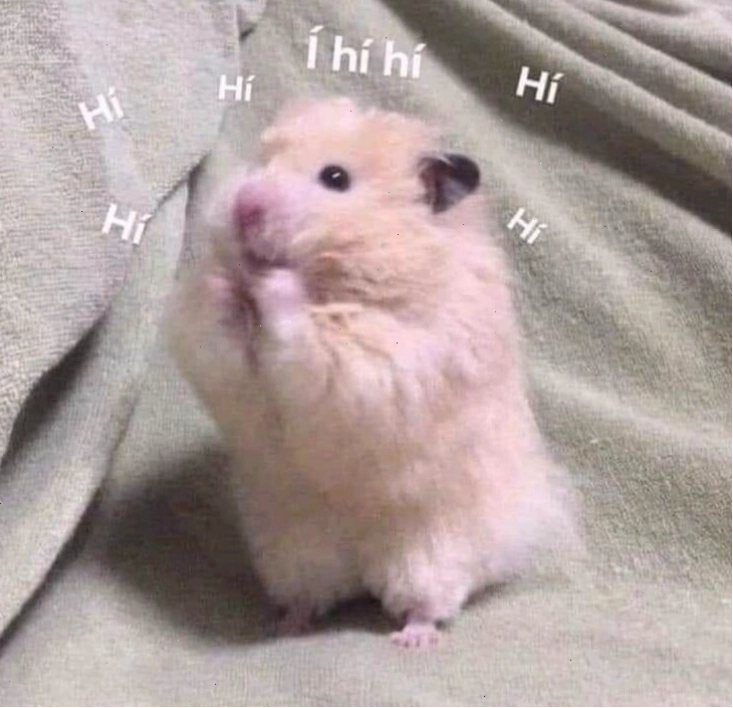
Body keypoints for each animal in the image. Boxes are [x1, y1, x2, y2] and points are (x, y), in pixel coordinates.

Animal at [167, 97, 578, 648]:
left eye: (335, 178)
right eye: (261, 161)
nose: (245, 206)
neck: (335, 280)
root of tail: (361, 568)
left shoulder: (385, 362)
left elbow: (310, 335)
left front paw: (273, 283)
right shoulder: (213, 356)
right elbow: (215, 327)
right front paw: (222, 282)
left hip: (430, 549)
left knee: (428, 601)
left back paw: (413, 638)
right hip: (294, 547)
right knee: (312, 594)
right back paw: (288, 625)